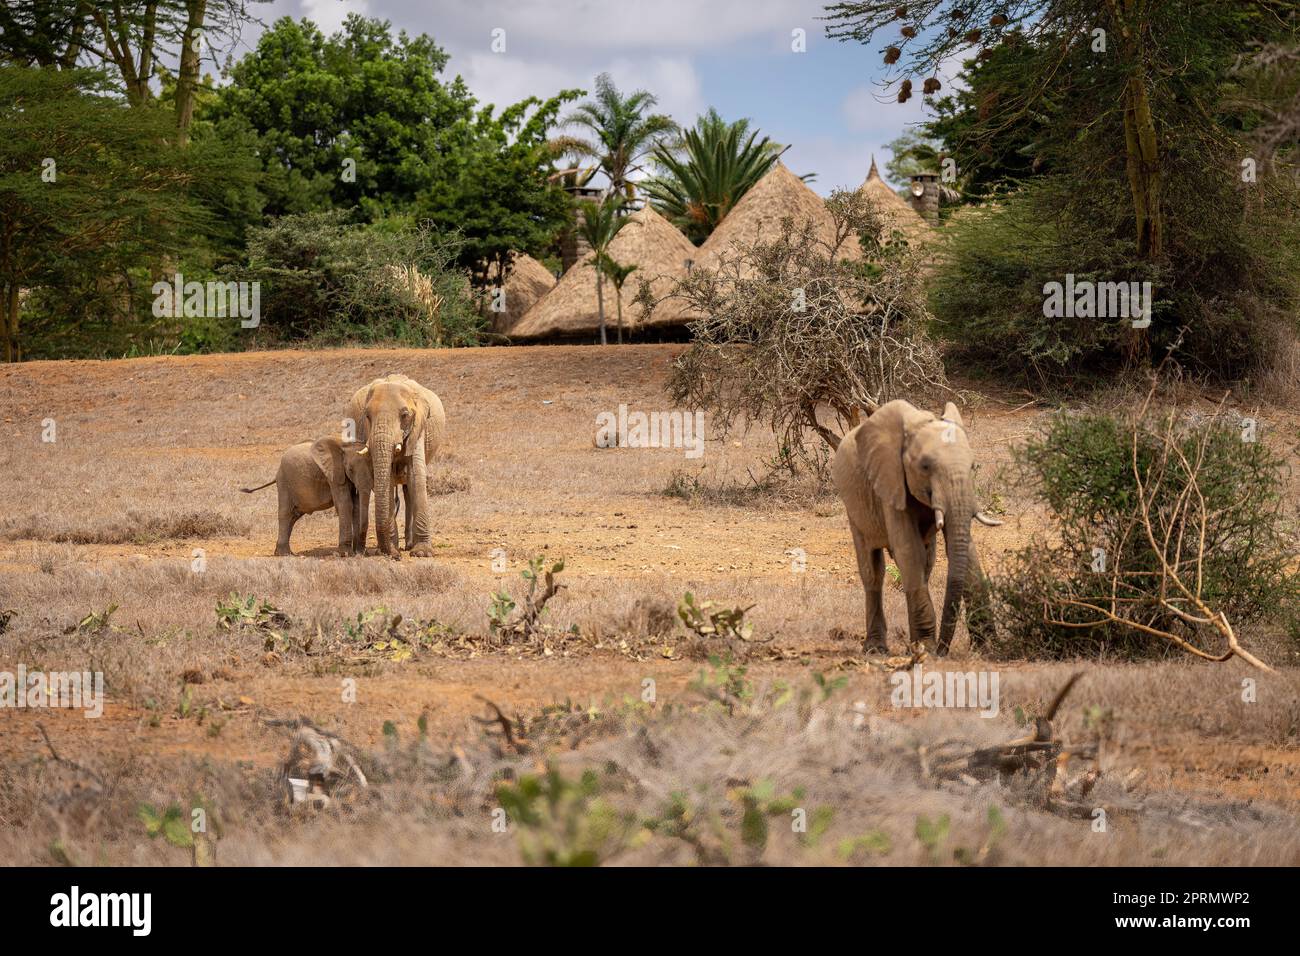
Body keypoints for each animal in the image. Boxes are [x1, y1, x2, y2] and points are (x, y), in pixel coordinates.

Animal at [241, 437, 374, 557]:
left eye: (373, 470)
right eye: (350, 469)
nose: (361, 552)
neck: (343, 446)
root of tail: (277, 472)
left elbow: (356, 506)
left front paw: (358, 552)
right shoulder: (334, 475)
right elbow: (345, 504)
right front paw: (346, 554)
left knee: (294, 515)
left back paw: (285, 552)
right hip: (284, 482)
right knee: (286, 513)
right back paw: (284, 554)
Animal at [346, 374, 446, 558]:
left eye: (405, 415)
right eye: (367, 416)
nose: (395, 556)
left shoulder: (418, 428)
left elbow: (416, 476)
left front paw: (422, 553)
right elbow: (388, 481)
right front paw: (391, 550)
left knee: (408, 489)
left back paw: (409, 545)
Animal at [830, 399, 1000, 655]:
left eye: (973, 466)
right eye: (925, 466)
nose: (943, 650)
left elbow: (966, 552)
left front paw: (988, 647)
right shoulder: (890, 481)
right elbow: (909, 550)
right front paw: (926, 649)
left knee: (926, 564)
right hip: (853, 506)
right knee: (873, 572)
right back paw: (876, 650)